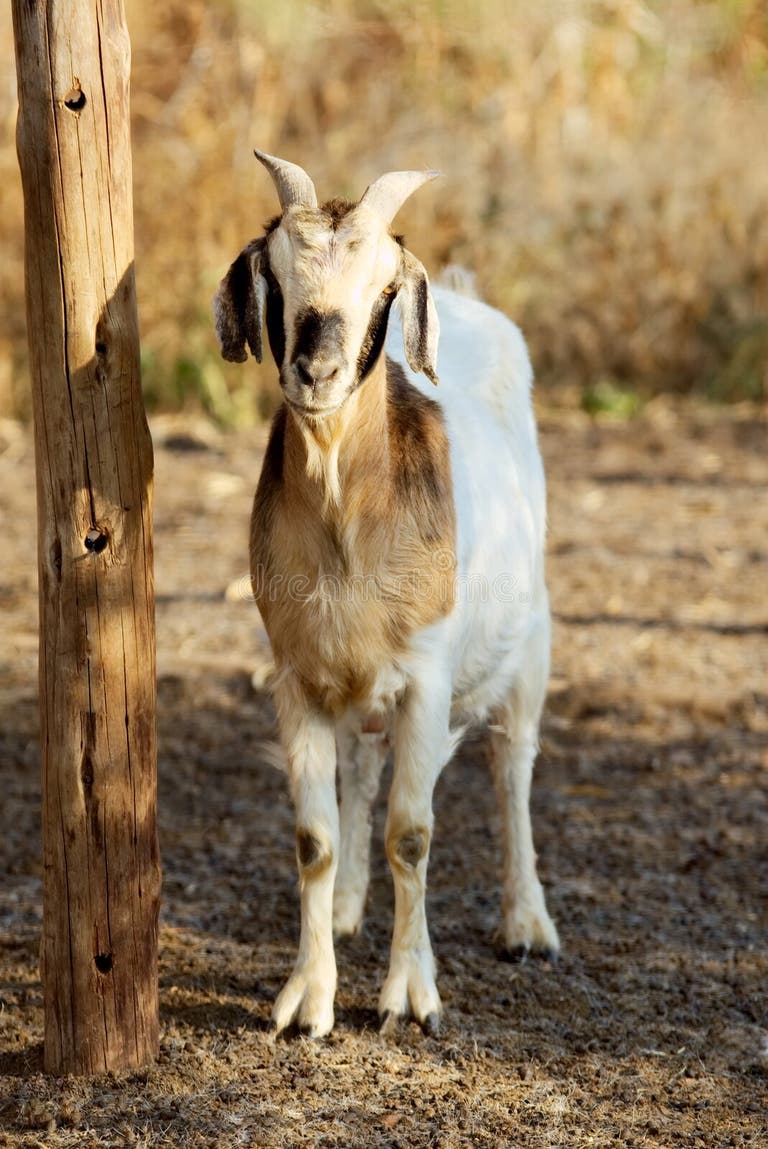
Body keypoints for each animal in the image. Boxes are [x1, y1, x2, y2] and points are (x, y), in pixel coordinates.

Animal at [213, 152, 559, 1037]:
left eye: (383, 288)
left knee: (514, 766)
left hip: (530, 642)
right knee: (364, 768)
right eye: (277, 273)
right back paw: (345, 908)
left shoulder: (426, 679)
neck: (348, 521)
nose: (316, 372)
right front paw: (307, 998)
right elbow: (316, 836)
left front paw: (410, 995)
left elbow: (413, 832)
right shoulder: (297, 673)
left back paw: (527, 923)